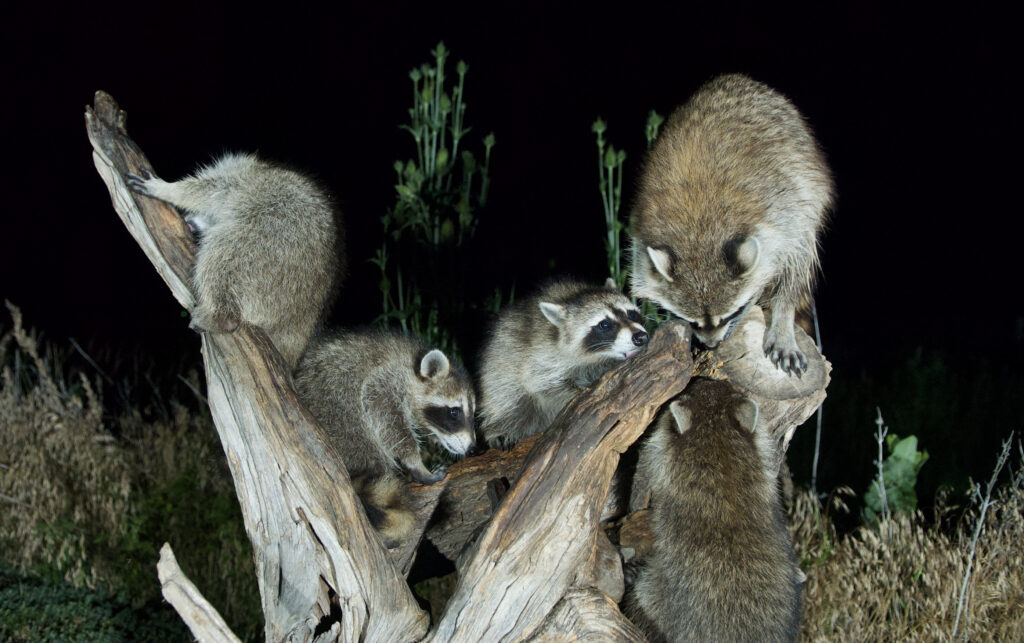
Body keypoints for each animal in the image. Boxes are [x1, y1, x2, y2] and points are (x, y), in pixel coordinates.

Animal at [126, 152, 342, 370]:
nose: (191, 222)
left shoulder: (236, 181)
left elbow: (208, 190)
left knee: (220, 252)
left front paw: (168, 190)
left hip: (271, 244)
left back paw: (222, 317)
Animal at [479, 278, 649, 448]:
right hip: (500, 364)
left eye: (632, 314)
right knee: (508, 400)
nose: (641, 337)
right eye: (604, 324)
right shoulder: (540, 354)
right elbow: (544, 385)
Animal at [631, 74, 832, 376]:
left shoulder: (789, 209)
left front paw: (783, 317)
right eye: (691, 320)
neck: (699, 228)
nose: (711, 345)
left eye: (732, 313)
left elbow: (794, 267)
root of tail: (737, 78)